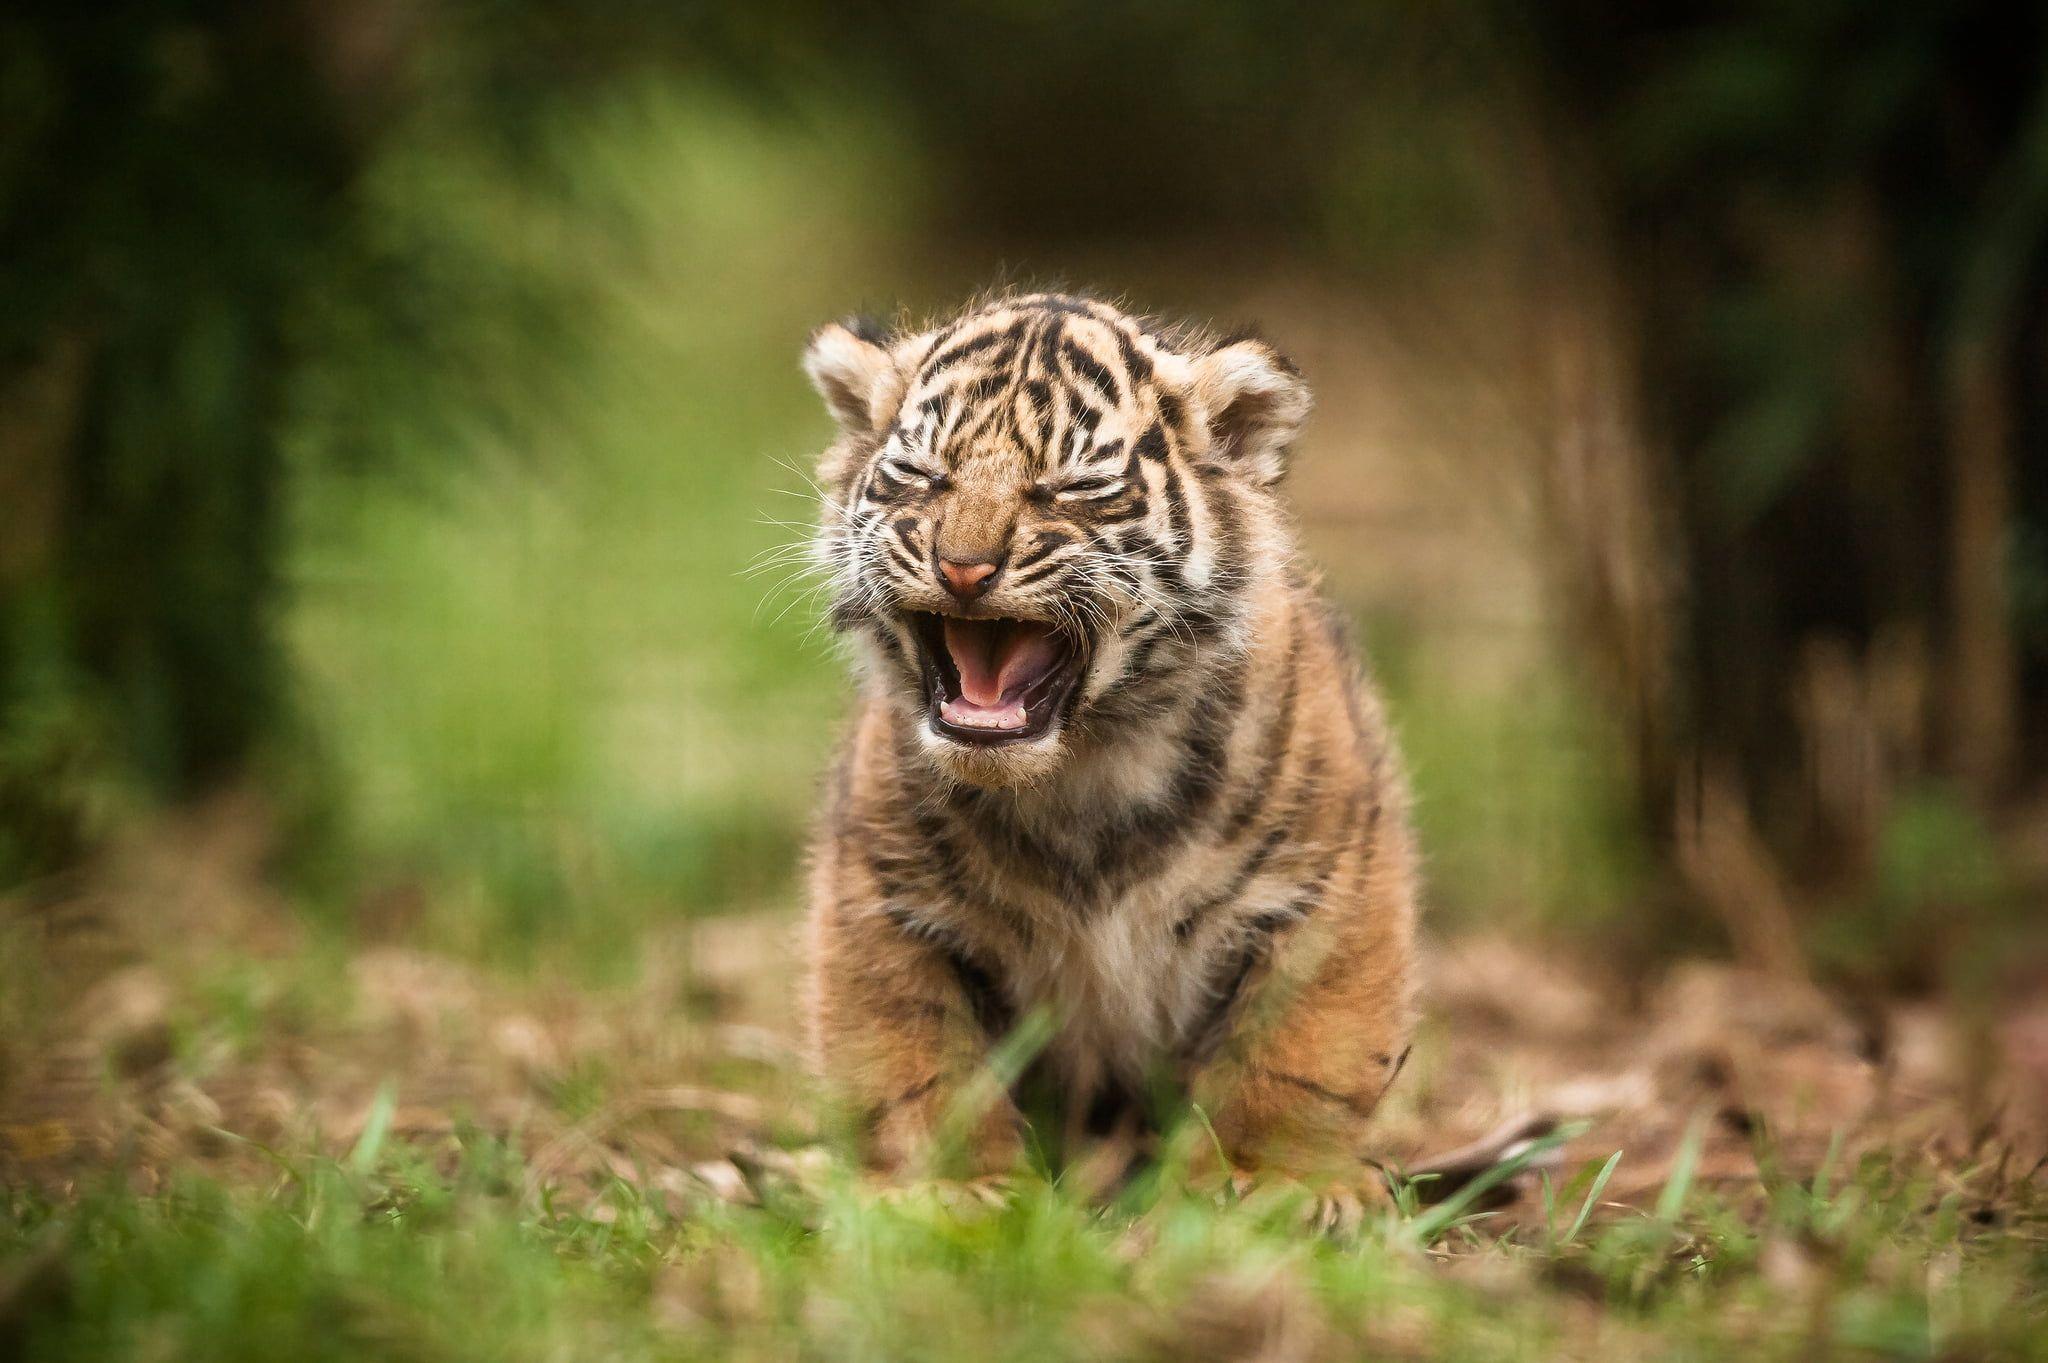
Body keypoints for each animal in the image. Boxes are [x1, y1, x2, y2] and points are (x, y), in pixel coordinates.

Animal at [798, 291, 1417, 1224]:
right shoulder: (882, 897)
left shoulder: (1328, 882)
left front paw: (1278, 1183)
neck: (1083, 767)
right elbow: (915, 1059)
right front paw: (953, 1186)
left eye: (1072, 488)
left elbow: (1300, 1048)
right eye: (921, 475)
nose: (963, 567)